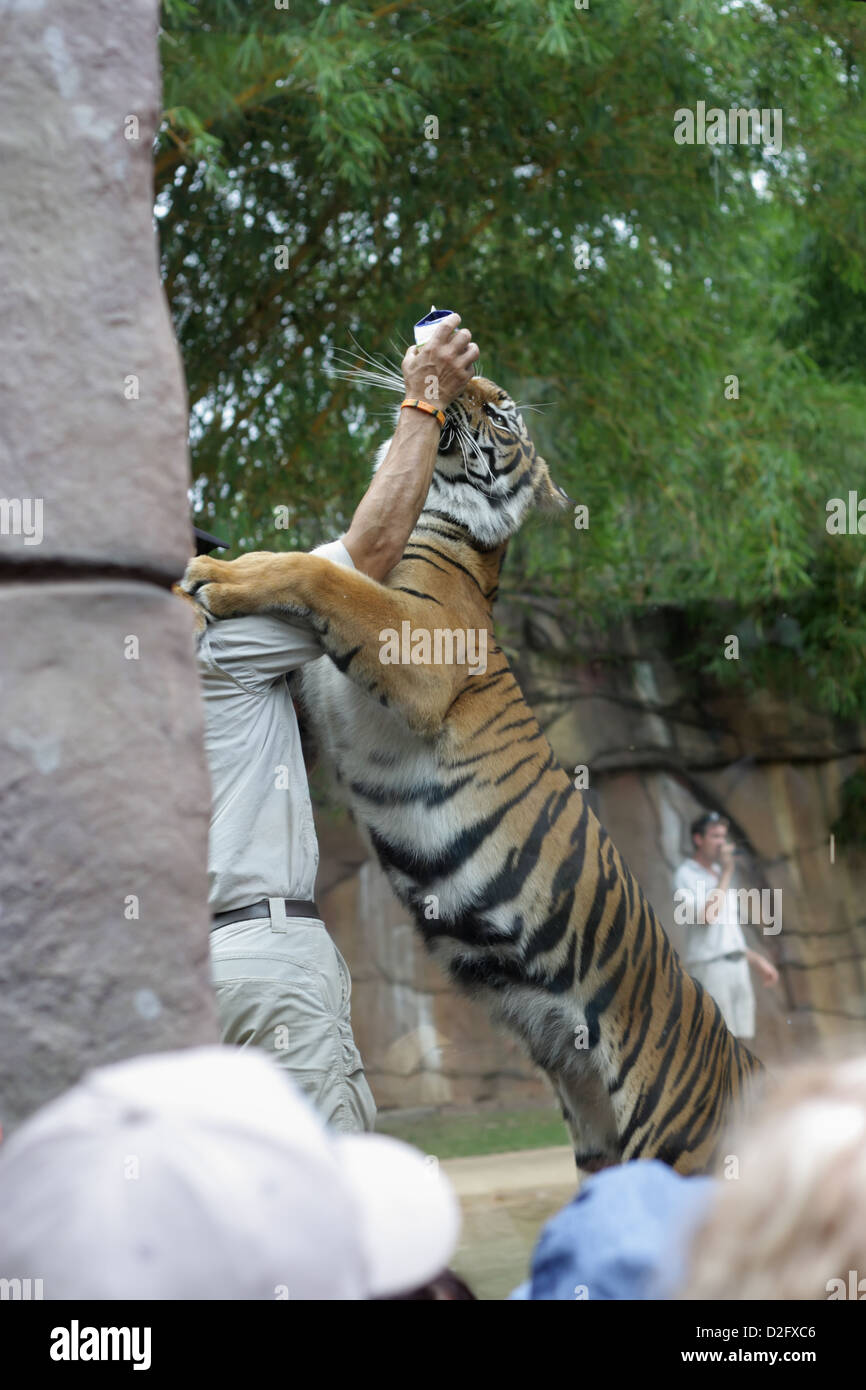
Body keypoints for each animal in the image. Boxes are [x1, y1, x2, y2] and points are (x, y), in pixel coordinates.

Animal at [181, 371, 762, 1174]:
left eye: (501, 414)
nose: (459, 380)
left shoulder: (413, 649)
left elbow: (319, 568)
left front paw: (212, 576)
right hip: (598, 1141)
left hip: (672, 1152)